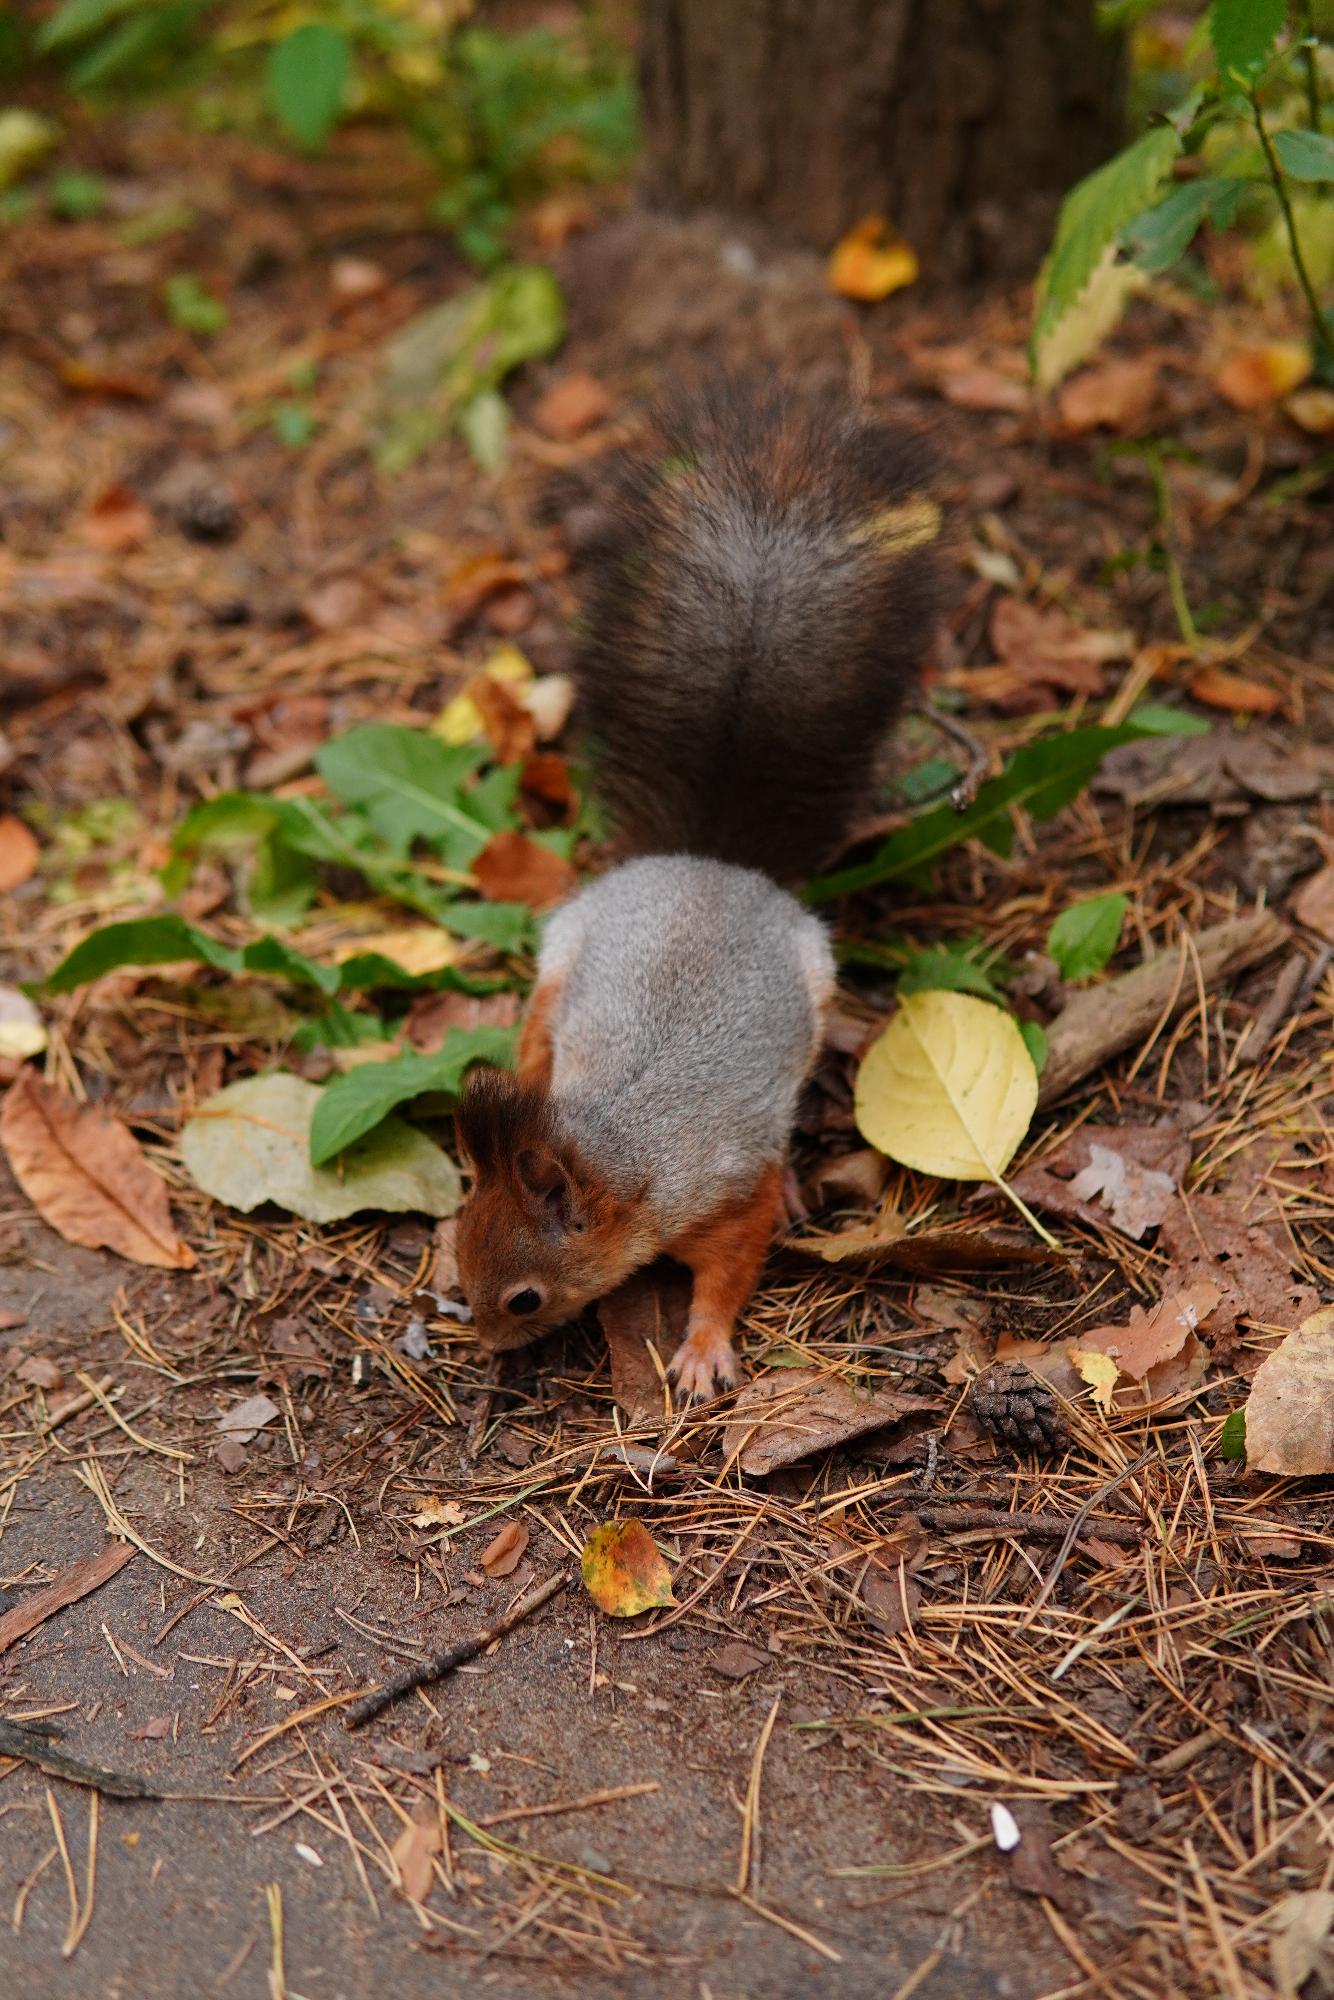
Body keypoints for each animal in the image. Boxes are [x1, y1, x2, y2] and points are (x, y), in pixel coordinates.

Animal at [454, 382, 944, 1400]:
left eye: (523, 1297)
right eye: (455, 1250)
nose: (487, 1353)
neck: (616, 1147)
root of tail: (707, 866)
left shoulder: (720, 1198)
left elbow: (732, 1267)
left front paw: (704, 1349)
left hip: (812, 975)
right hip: (563, 954)